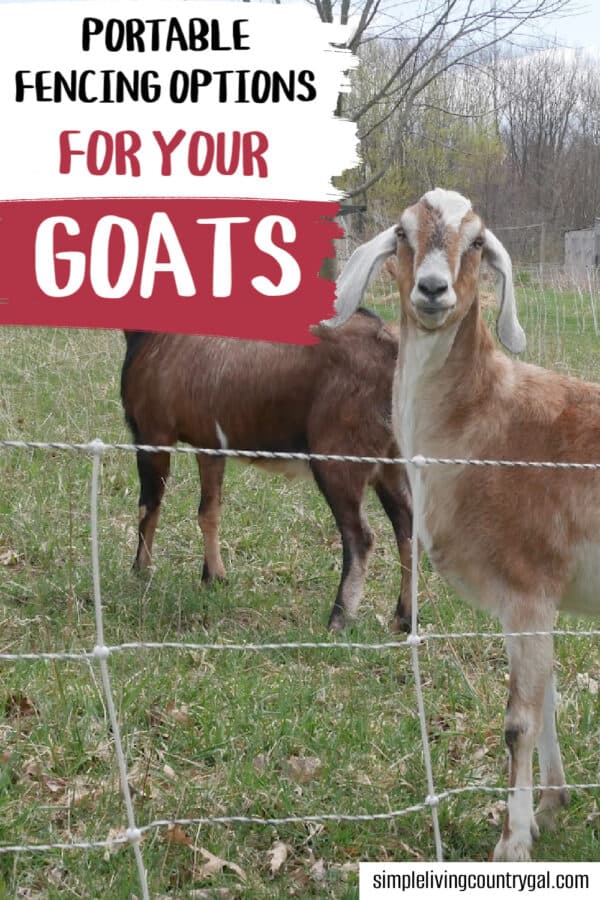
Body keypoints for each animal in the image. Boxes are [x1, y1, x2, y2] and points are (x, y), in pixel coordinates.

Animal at [120, 310, 412, 632]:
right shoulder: (209, 442)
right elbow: (208, 511)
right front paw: (214, 578)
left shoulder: (152, 431)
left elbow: (149, 508)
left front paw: (140, 573)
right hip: (392, 460)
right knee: (407, 526)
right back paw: (403, 619)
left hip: (339, 457)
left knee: (360, 537)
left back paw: (338, 620)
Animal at [325, 188, 600, 861]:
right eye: (402, 232)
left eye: (476, 242)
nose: (432, 289)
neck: (484, 420)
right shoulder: (526, 604)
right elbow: (546, 699)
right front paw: (548, 808)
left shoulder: (528, 588)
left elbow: (518, 720)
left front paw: (512, 843)